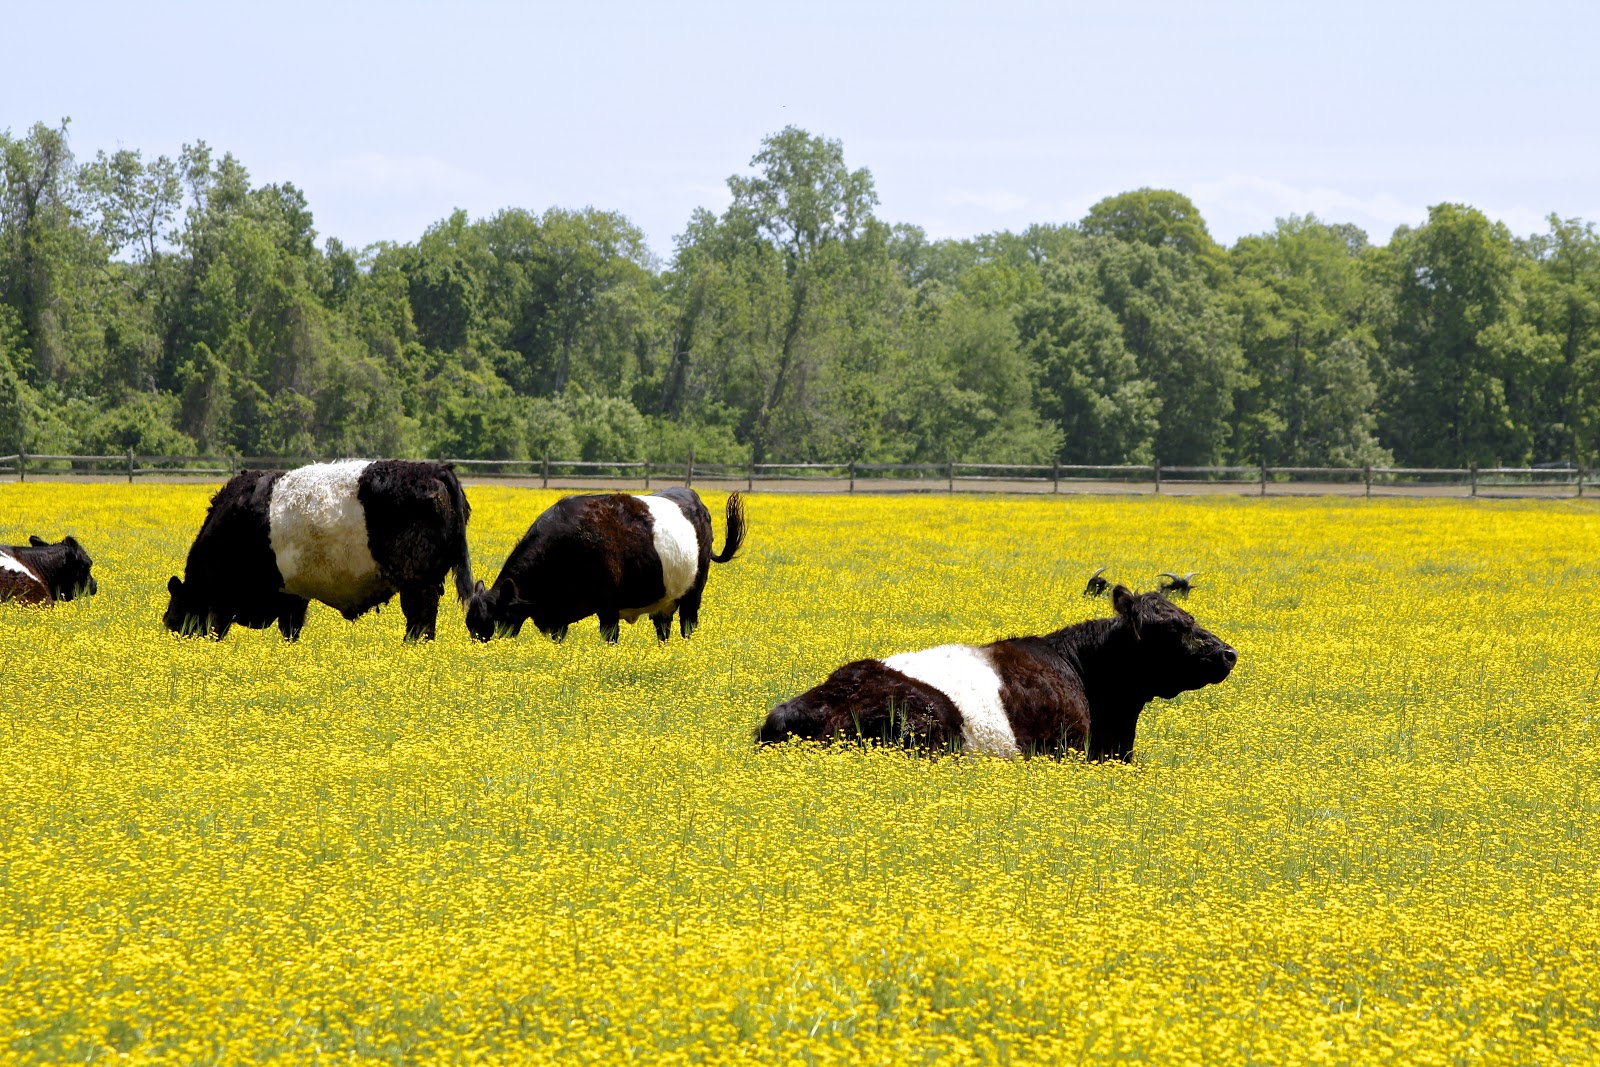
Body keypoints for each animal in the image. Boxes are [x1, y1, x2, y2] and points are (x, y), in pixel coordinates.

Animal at [163, 459, 474, 641]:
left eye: (177, 617)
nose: (170, 626)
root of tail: (434, 469)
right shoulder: (293, 595)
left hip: (416, 584)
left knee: (419, 622)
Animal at [466, 488, 746, 643]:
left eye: (493, 622)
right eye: (471, 626)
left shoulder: (608, 607)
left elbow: (610, 637)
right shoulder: (558, 617)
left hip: (693, 594)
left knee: (688, 625)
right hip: (664, 600)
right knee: (663, 630)